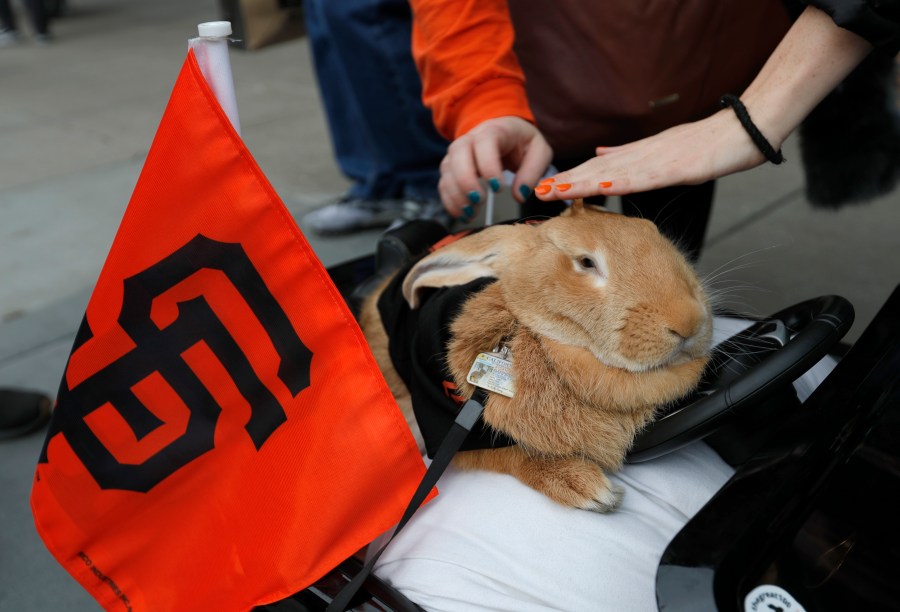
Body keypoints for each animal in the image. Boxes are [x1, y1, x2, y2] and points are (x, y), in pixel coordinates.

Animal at [359, 202, 713, 512]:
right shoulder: (446, 419)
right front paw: (587, 488)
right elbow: (508, 454)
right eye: (586, 262)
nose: (689, 321)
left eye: (651, 230)